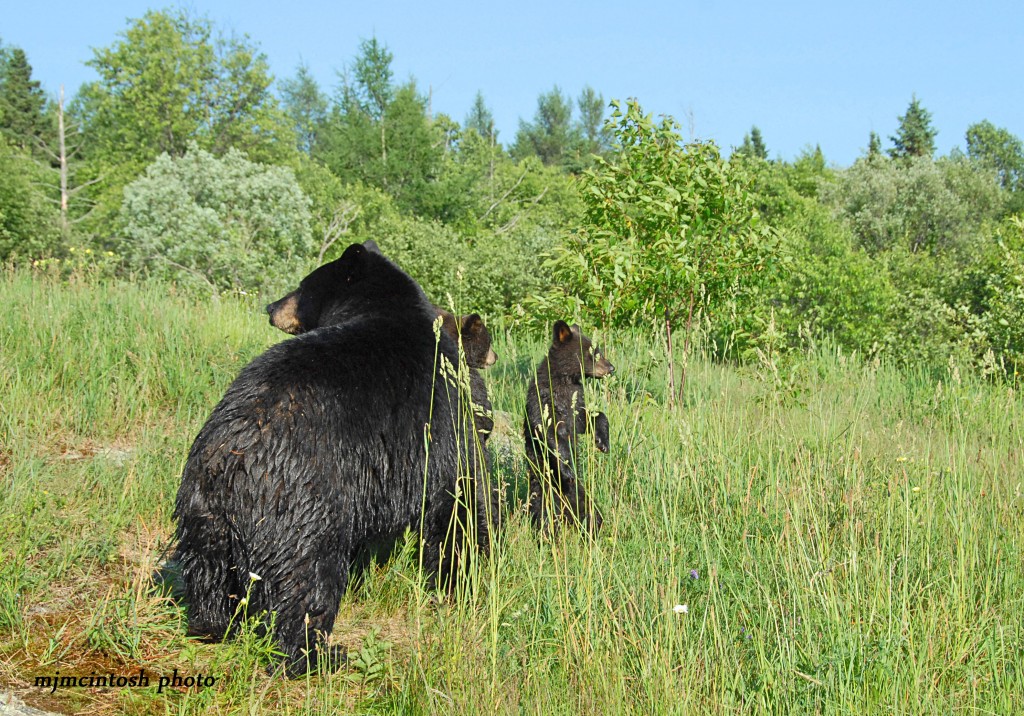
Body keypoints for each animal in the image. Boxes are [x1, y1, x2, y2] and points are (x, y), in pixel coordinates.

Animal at [173, 241, 495, 677]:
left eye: (300, 285)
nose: (270, 306)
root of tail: (230, 454)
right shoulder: (443, 423)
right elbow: (458, 502)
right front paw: (461, 580)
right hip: (305, 507)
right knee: (307, 581)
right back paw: (317, 653)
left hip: (202, 514)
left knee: (208, 577)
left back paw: (213, 624)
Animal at [523, 320, 614, 535]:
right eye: (593, 353)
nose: (611, 368)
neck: (565, 380)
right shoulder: (544, 399)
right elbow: (548, 431)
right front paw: (567, 468)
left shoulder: (576, 401)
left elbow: (589, 418)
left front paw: (602, 441)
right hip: (544, 495)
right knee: (544, 517)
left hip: (584, 498)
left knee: (593, 513)